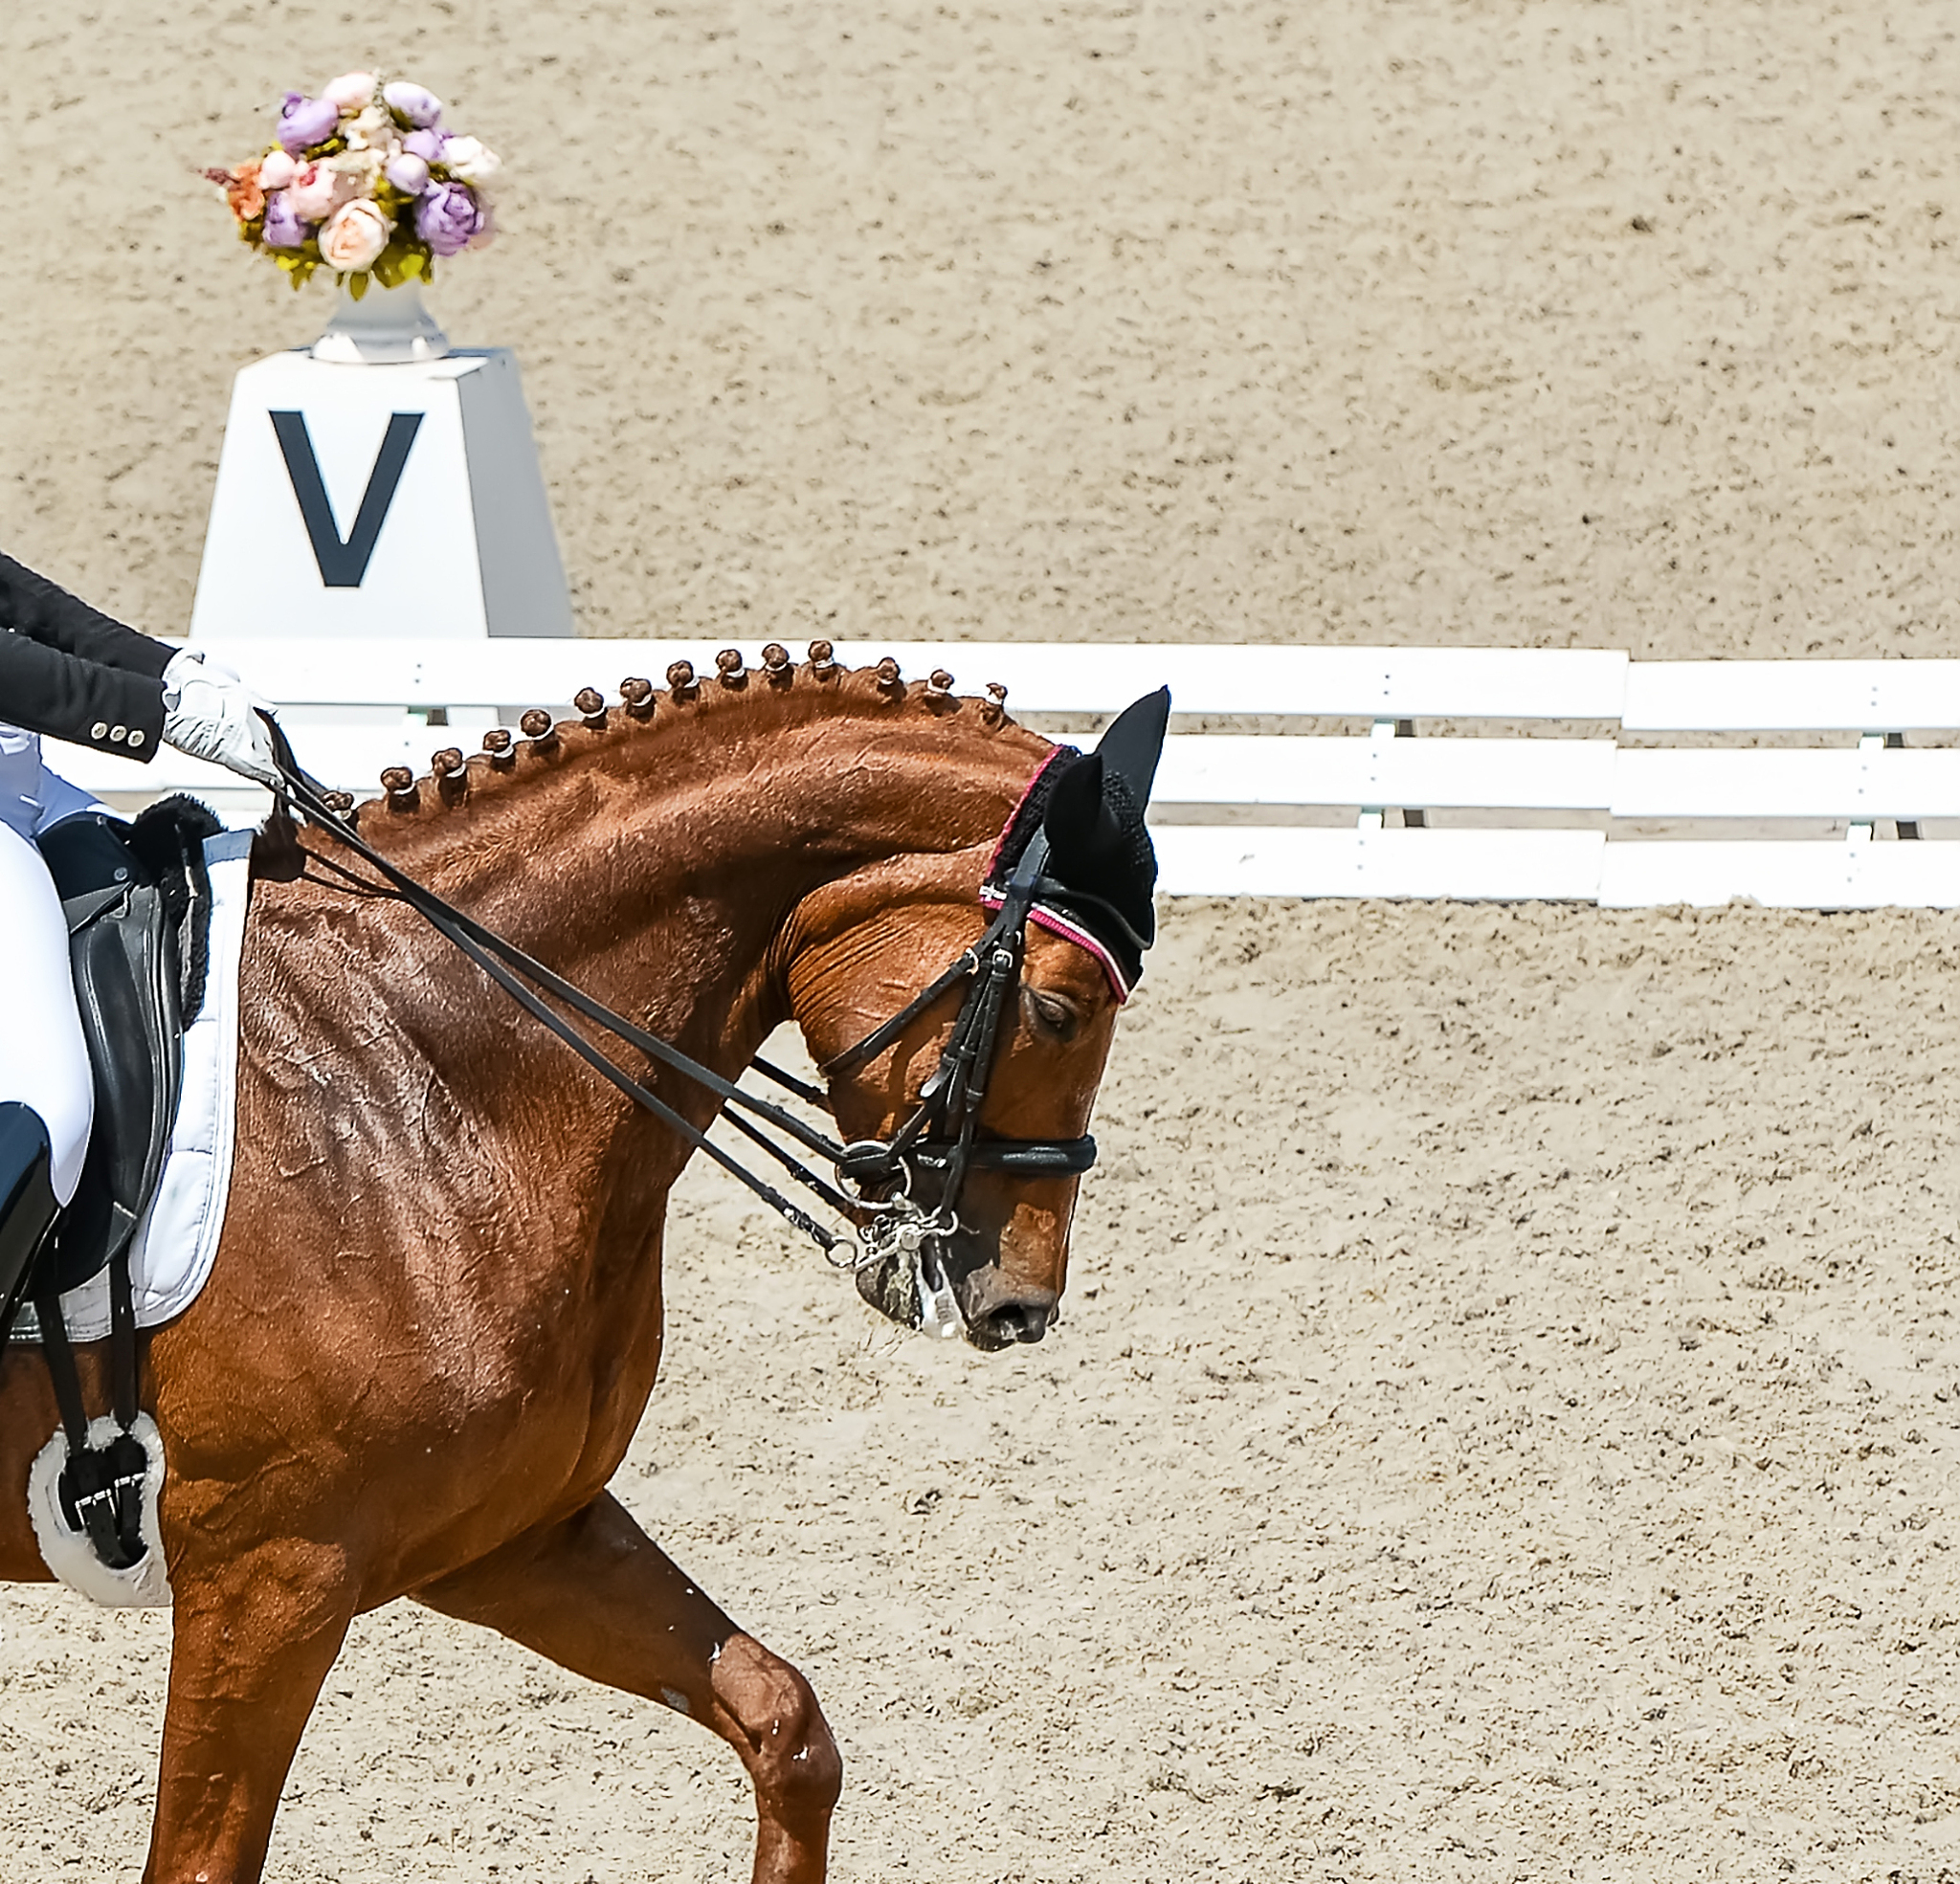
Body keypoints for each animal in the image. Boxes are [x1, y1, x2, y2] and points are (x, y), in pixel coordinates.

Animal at [0, 645, 1162, 1884]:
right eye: (1056, 1007)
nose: (1023, 1302)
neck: (420, 1067)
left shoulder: (511, 1536)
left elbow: (786, 1722)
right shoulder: (270, 1578)